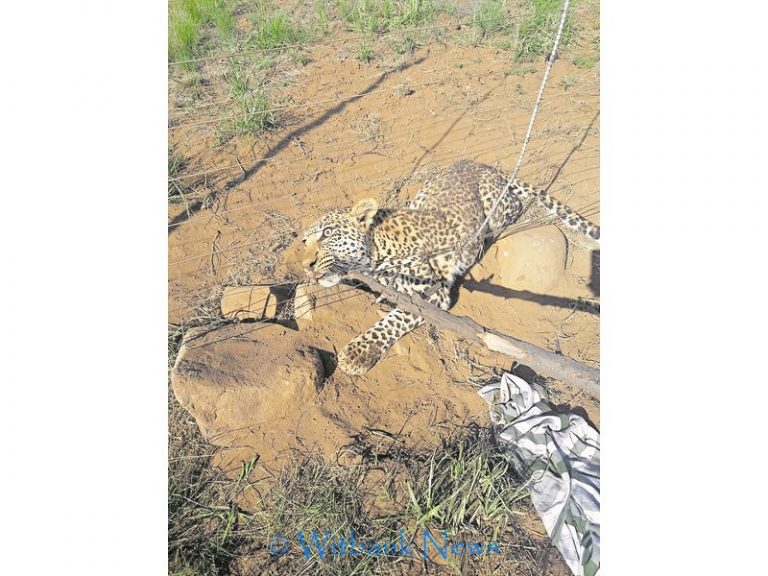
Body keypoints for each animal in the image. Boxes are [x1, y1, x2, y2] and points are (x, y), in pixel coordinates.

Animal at [301, 159, 599, 375]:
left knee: (513, 207)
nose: (306, 265)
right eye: (305, 240)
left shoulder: (435, 292)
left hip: (496, 208)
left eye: (327, 234)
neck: (377, 251)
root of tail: (485, 166)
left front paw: (358, 353)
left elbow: (395, 319)